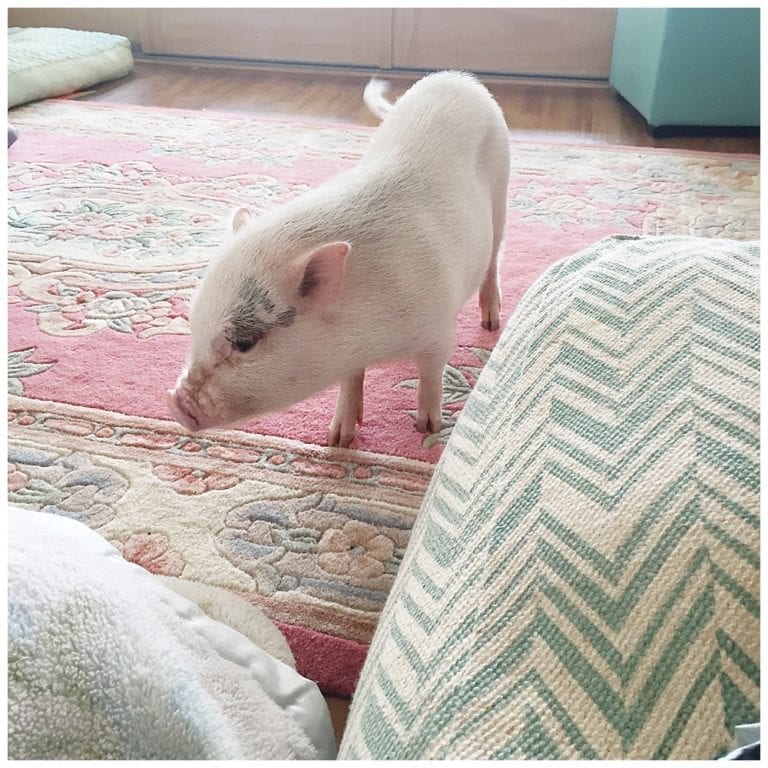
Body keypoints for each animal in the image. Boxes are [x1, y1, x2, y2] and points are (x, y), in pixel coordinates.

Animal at [167, 70, 510, 448]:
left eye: (244, 343)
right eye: (193, 324)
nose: (174, 404)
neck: (370, 336)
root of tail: (455, 78)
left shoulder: (439, 328)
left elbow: (431, 374)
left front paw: (428, 427)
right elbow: (350, 379)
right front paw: (338, 439)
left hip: (501, 192)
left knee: (493, 258)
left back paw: (491, 322)